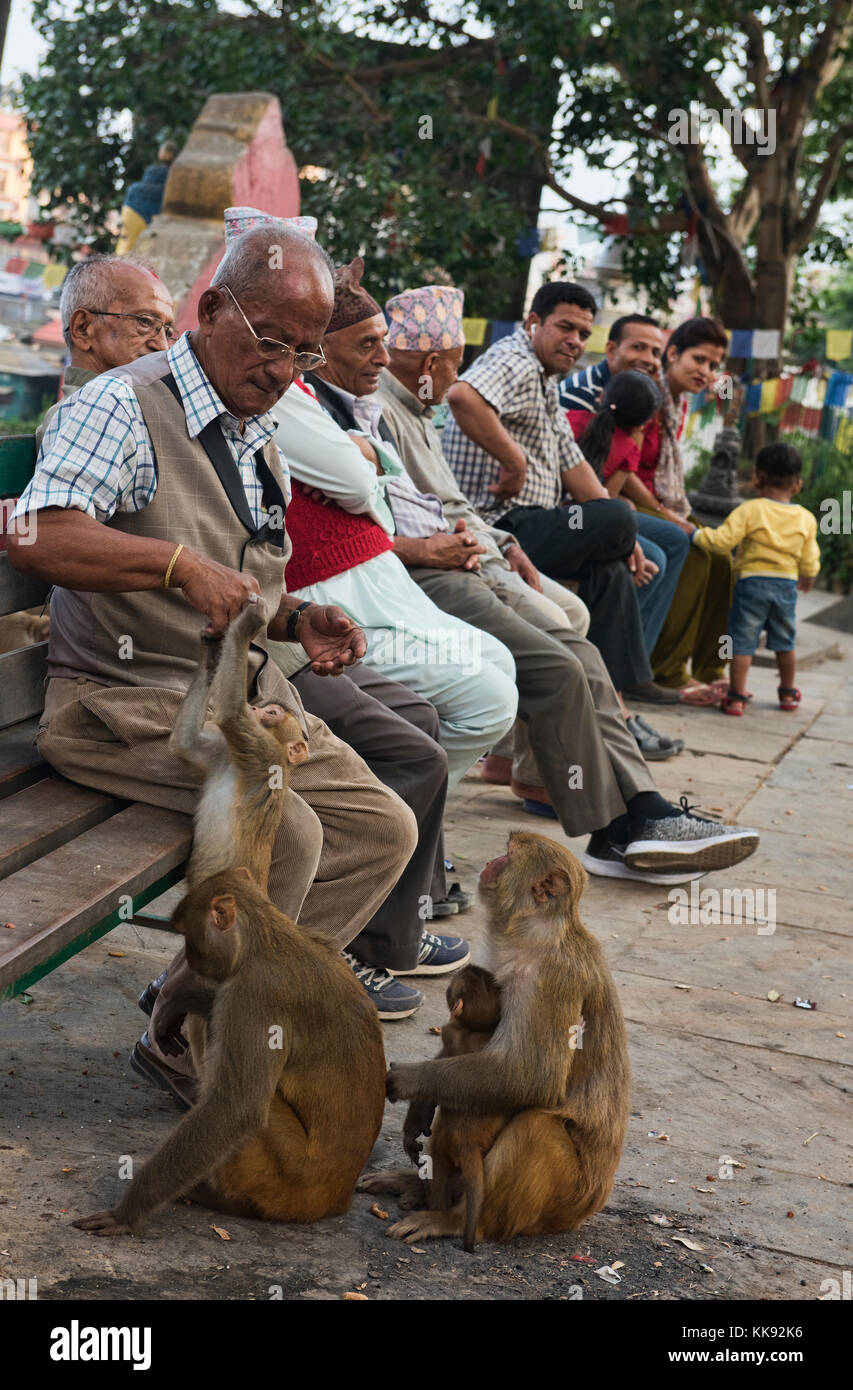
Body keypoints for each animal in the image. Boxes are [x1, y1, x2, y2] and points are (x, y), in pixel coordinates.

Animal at [73, 869, 387, 1235]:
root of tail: (337, 1200)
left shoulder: (254, 995)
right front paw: (180, 999)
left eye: (188, 937)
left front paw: (128, 1211)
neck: (267, 941)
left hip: (288, 1178)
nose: (189, 960)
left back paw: (219, 1197)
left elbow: (235, 1109)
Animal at [359, 832, 630, 1248]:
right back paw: (419, 1185)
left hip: (568, 1199)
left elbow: (532, 1076)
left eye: (508, 855)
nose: (488, 862)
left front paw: (408, 1081)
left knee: (535, 1127)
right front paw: (419, 1106)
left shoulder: (548, 980)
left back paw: (457, 1220)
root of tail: (590, 1209)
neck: (536, 933)